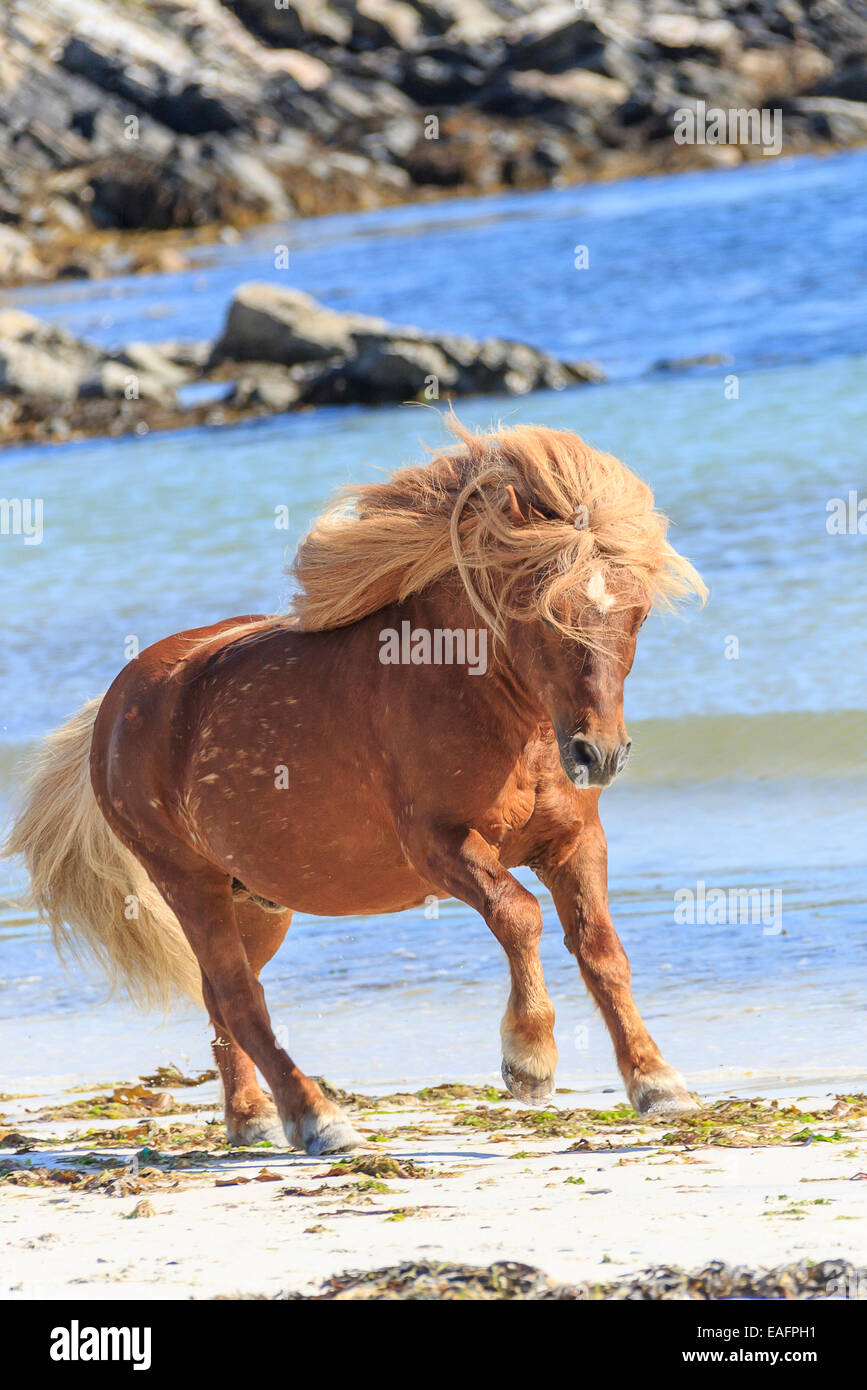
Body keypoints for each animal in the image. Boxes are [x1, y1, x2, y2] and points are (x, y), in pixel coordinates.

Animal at [5, 420, 706, 1155]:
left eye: (637, 616)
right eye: (542, 614)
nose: (599, 754)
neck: (478, 698)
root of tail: (115, 705)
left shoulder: (574, 842)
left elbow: (602, 952)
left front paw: (657, 1084)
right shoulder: (439, 847)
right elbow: (518, 915)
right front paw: (529, 1063)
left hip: (256, 901)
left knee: (220, 994)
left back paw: (252, 1120)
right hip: (187, 880)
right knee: (239, 996)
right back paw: (319, 1120)